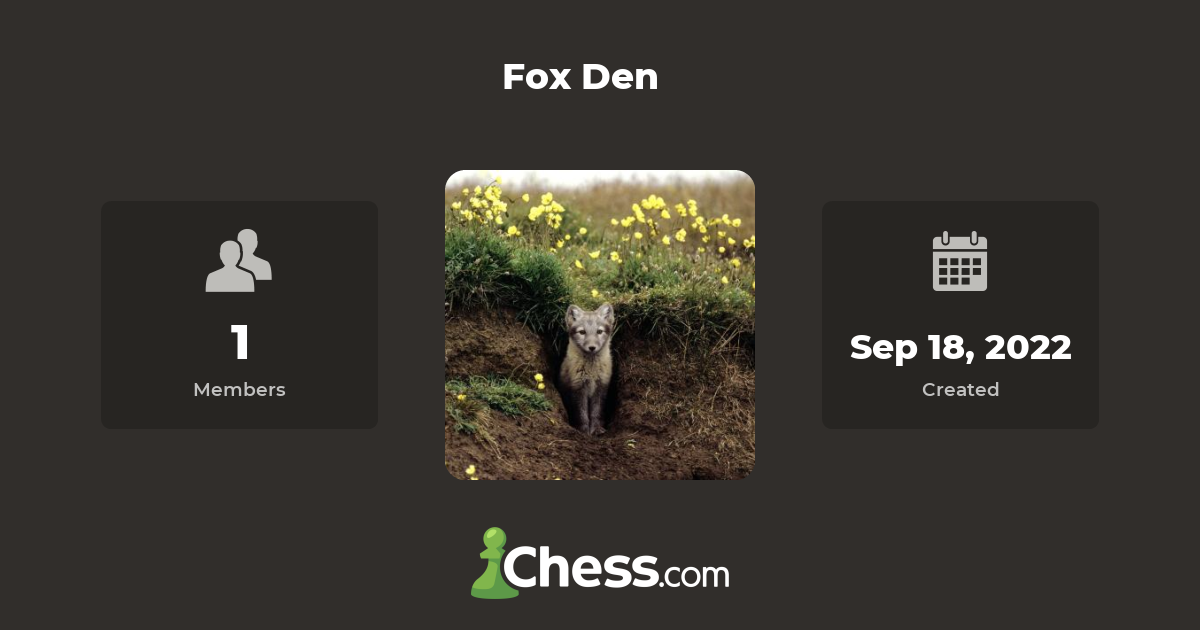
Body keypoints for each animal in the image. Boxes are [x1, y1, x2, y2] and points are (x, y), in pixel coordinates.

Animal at [560, 303, 614, 436]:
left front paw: (596, 429)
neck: (591, 372)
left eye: (599, 331)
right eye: (582, 332)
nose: (592, 347)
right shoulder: (577, 388)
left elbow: (596, 412)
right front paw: (583, 431)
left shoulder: (601, 387)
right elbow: (581, 413)